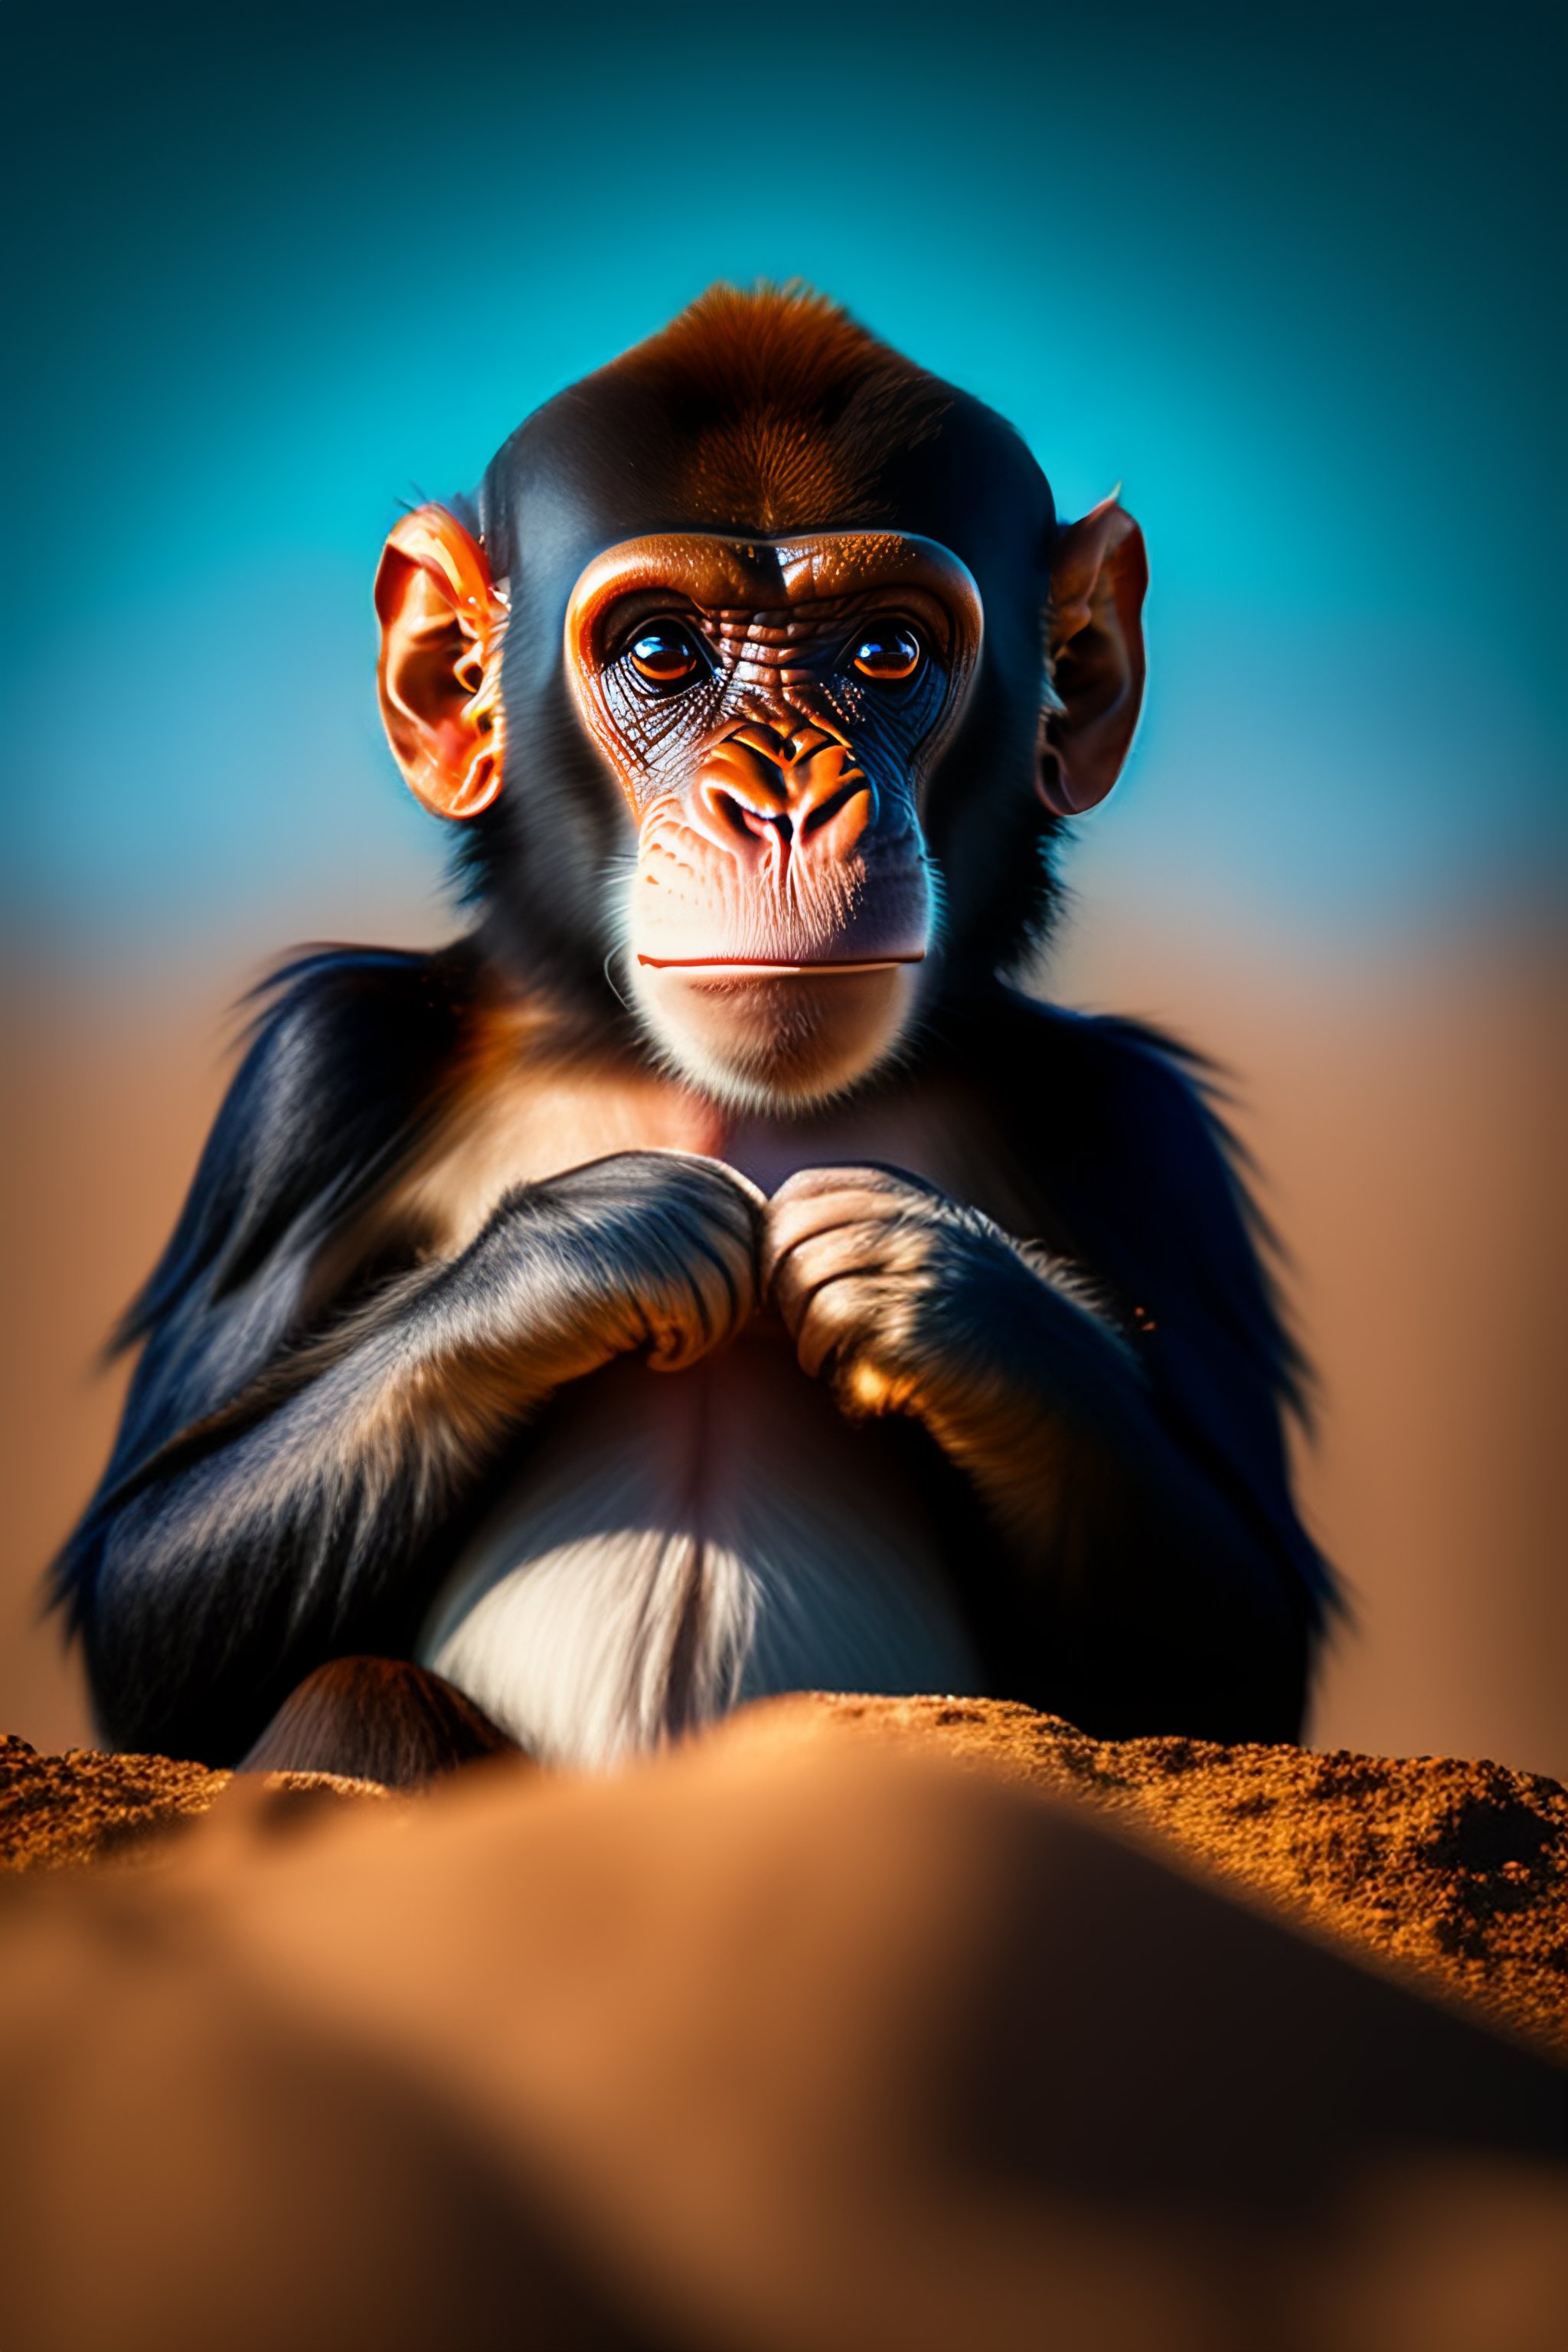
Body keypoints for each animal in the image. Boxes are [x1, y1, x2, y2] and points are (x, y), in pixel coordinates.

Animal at [54, 285, 1332, 1786]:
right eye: (662, 651)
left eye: (887, 651)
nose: (782, 803)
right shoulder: (320, 1080)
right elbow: (145, 1602)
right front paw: (593, 1244)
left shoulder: (1134, 1130)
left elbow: (1235, 1642)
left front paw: (932, 1282)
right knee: (353, 1692)